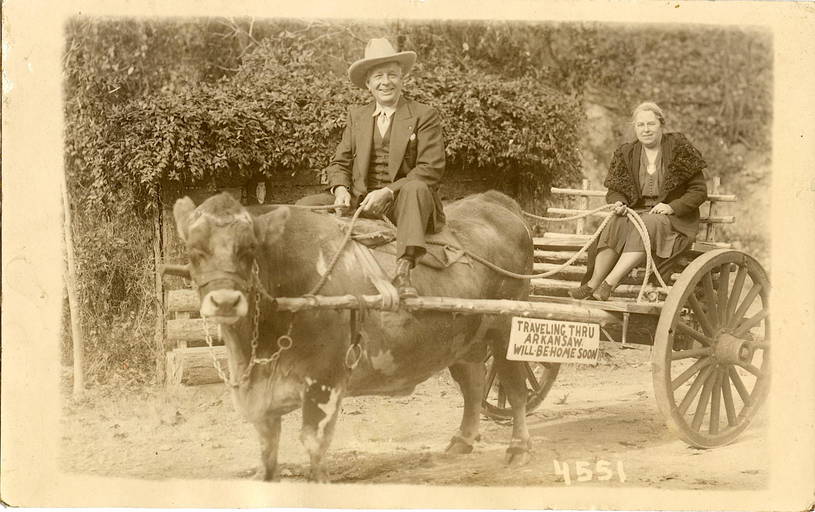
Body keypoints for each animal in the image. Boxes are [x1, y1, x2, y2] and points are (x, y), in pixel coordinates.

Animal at [170, 190, 535, 482]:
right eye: (193, 251)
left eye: (249, 249)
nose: (225, 301)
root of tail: (492, 201)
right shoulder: (262, 400)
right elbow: (267, 456)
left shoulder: (325, 382)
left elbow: (314, 446)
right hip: (465, 336)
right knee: (473, 384)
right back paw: (462, 441)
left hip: (508, 325)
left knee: (516, 387)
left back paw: (518, 448)